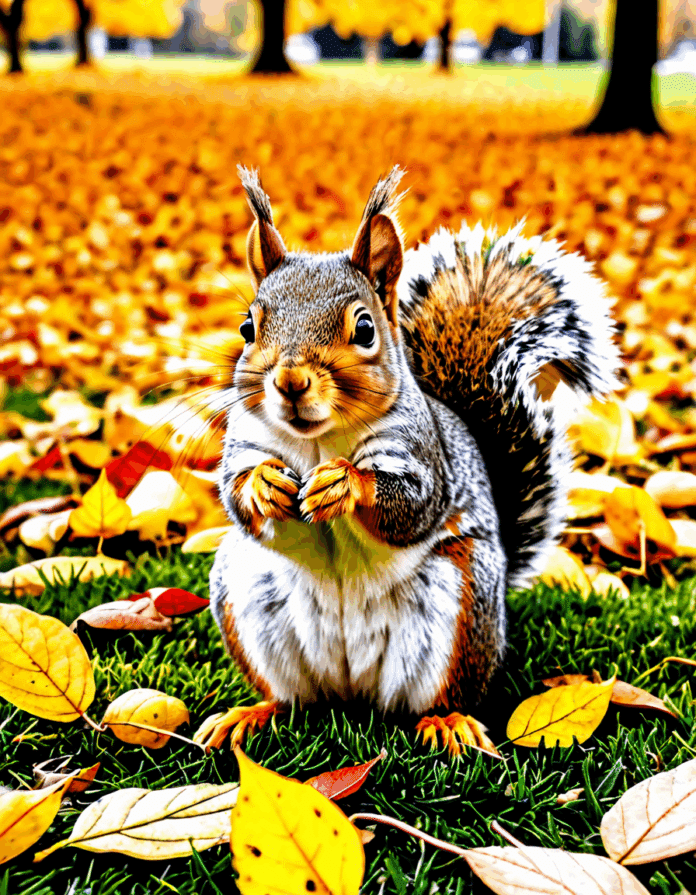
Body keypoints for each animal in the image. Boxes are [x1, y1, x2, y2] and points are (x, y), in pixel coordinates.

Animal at [205, 165, 620, 754]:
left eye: (364, 330)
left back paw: (447, 722)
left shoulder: (422, 454)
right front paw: (265, 486)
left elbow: (409, 507)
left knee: (436, 697)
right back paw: (252, 713)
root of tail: (351, 690)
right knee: (290, 698)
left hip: (461, 603)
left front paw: (344, 484)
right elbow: (237, 496)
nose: (289, 381)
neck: (318, 441)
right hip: (245, 591)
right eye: (247, 327)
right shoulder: (245, 443)